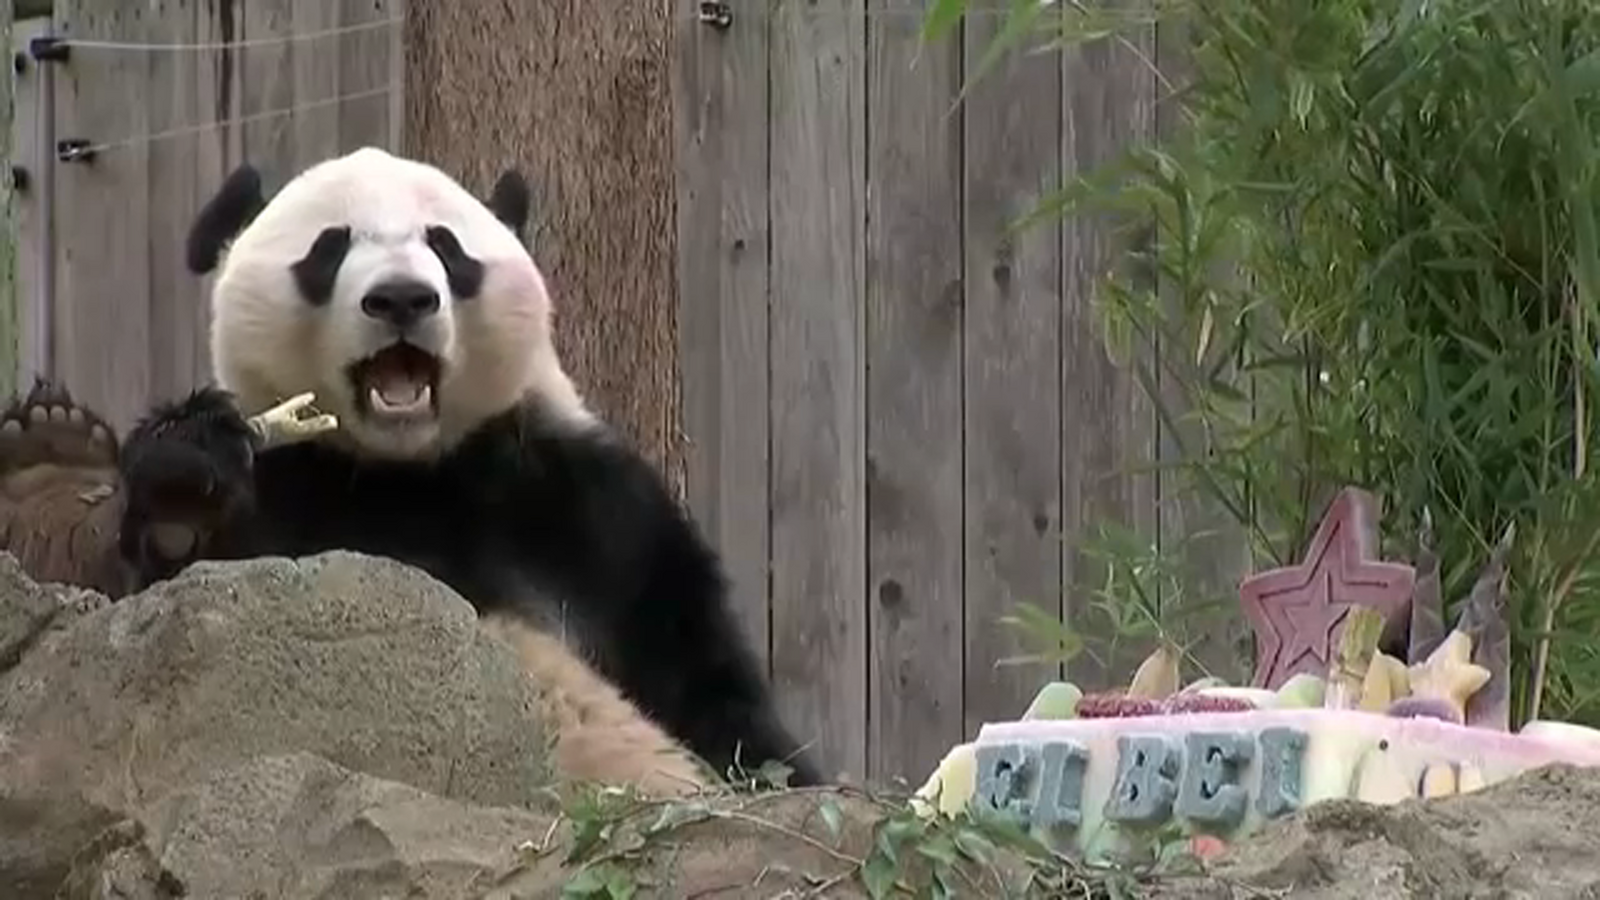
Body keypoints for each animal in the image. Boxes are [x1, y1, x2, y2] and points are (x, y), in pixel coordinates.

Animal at [105, 146, 822, 794]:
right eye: (329, 248)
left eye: (446, 246)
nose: (401, 298)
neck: (406, 468)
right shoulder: (291, 496)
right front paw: (186, 481)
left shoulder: (582, 507)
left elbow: (696, 664)